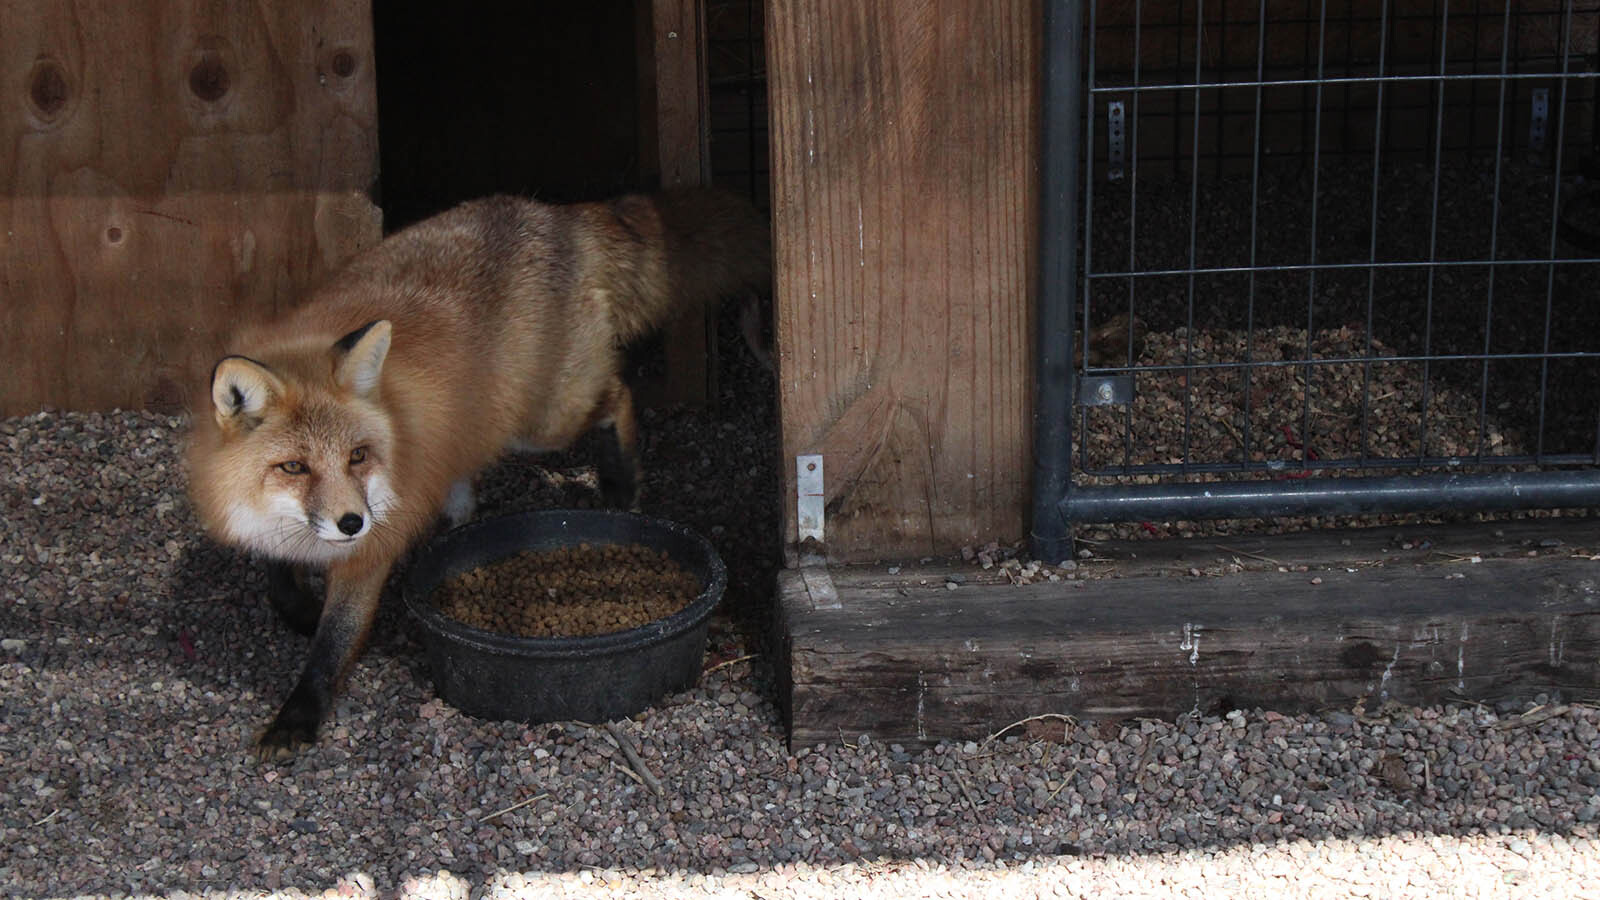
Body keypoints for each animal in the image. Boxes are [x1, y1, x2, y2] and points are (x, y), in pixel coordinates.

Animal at [186, 188, 770, 760]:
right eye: (294, 467)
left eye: (357, 456)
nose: (352, 523)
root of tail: (557, 216)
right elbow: (277, 575)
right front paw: (298, 609)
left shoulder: (370, 551)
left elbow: (333, 644)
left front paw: (297, 717)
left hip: (540, 423)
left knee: (617, 395)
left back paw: (621, 485)